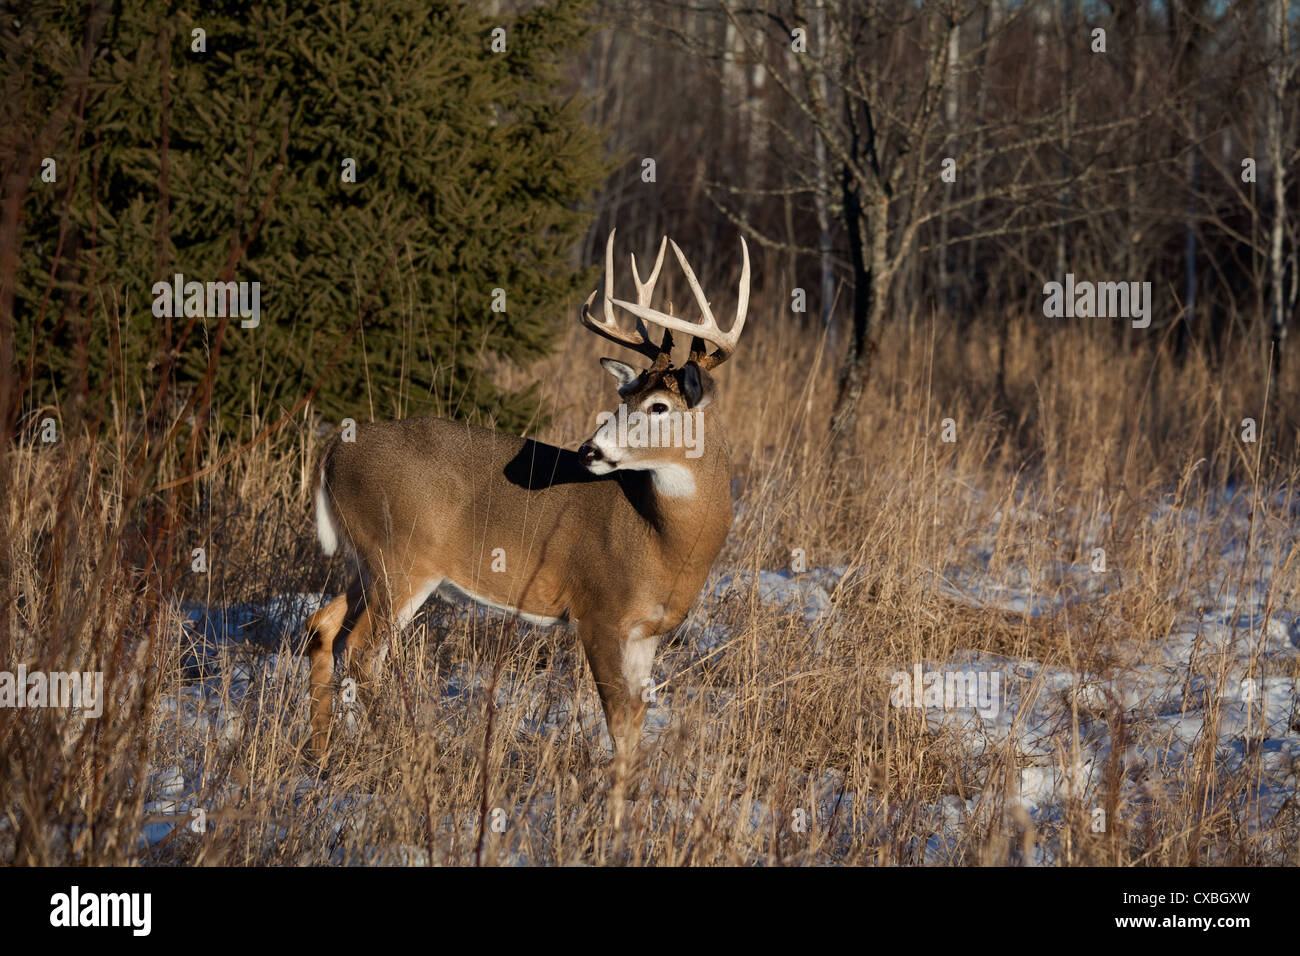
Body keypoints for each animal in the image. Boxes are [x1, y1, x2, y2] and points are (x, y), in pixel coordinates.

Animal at [303, 228, 750, 775]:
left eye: (659, 406)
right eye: (624, 398)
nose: (589, 450)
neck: (662, 540)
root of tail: (333, 451)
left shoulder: (647, 632)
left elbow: (636, 727)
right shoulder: (598, 610)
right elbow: (620, 726)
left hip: (366, 560)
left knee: (323, 626)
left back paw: (320, 753)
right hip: (401, 557)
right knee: (363, 652)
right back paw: (402, 747)